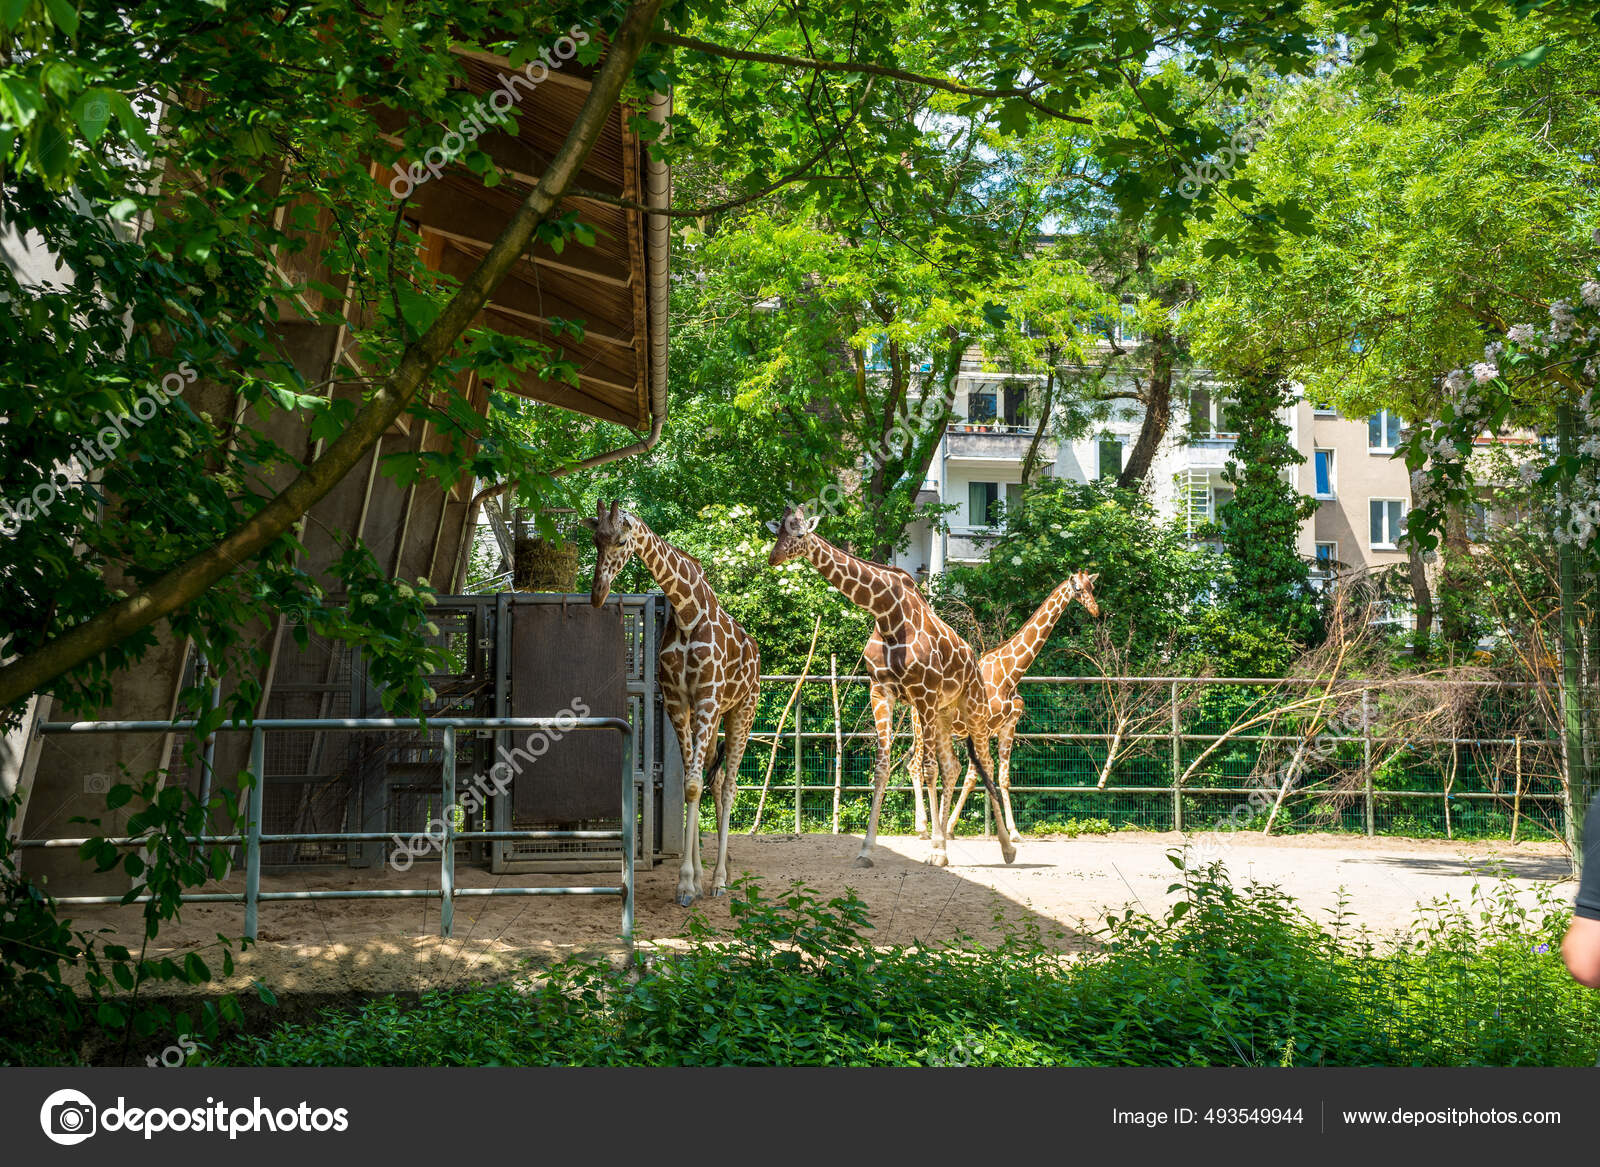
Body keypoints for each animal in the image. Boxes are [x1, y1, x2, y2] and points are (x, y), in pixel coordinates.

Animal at [585, 501, 760, 905]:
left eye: (620, 540)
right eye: (595, 540)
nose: (598, 594)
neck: (686, 612)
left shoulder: (708, 698)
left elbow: (694, 785)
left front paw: (689, 883)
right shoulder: (679, 701)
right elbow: (689, 785)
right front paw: (689, 881)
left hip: (741, 710)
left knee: (730, 785)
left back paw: (720, 879)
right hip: (714, 715)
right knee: (716, 778)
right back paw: (710, 876)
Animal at [766, 505, 1013, 868]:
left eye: (799, 533)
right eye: (778, 532)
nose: (774, 557)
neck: (887, 614)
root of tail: (973, 658)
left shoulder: (923, 695)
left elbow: (927, 769)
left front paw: (935, 850)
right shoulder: (882, 692)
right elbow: (882, 767)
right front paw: (867, 850)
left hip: (973, 709)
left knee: (985, 763)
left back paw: (1006, 848)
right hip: (943, 713)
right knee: (953, 766)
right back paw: (948, 844)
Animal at [940, 571, 1101, 840]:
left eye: (1092, 587)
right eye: (1077, 589)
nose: (1096, 610)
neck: (1010, 675)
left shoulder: (1008, 727)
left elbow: (1001, 778)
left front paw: (1013, 832)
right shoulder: (984, 729)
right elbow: (978, 776)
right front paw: (952, 827)